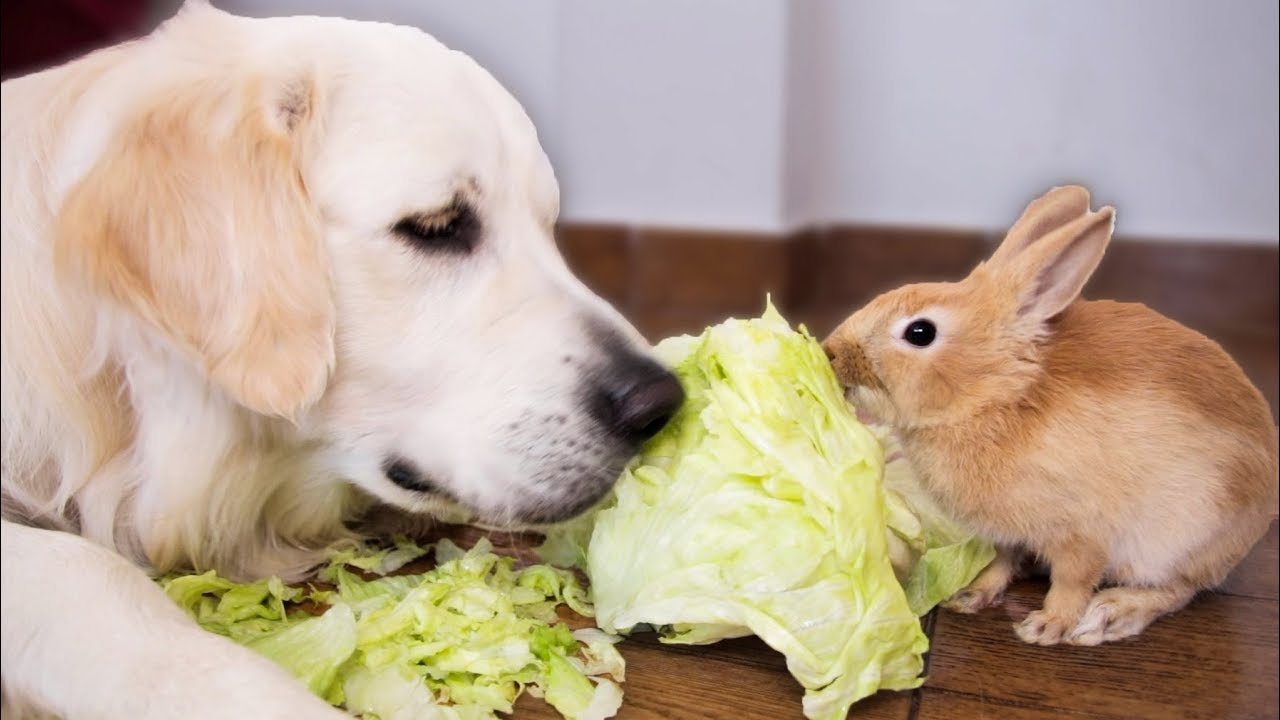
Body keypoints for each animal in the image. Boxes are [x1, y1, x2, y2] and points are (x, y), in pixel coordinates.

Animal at [821, 185, 1279, 646]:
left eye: (920, 333)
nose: (830, 351)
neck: (997, 394)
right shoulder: (1004, 534)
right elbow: (1000, 562)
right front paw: (971, 595)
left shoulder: (1082, 533)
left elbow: (1072, 581)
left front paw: (1047, 627)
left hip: (1181, 539)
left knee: (1179, 588)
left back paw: (1111, 615)